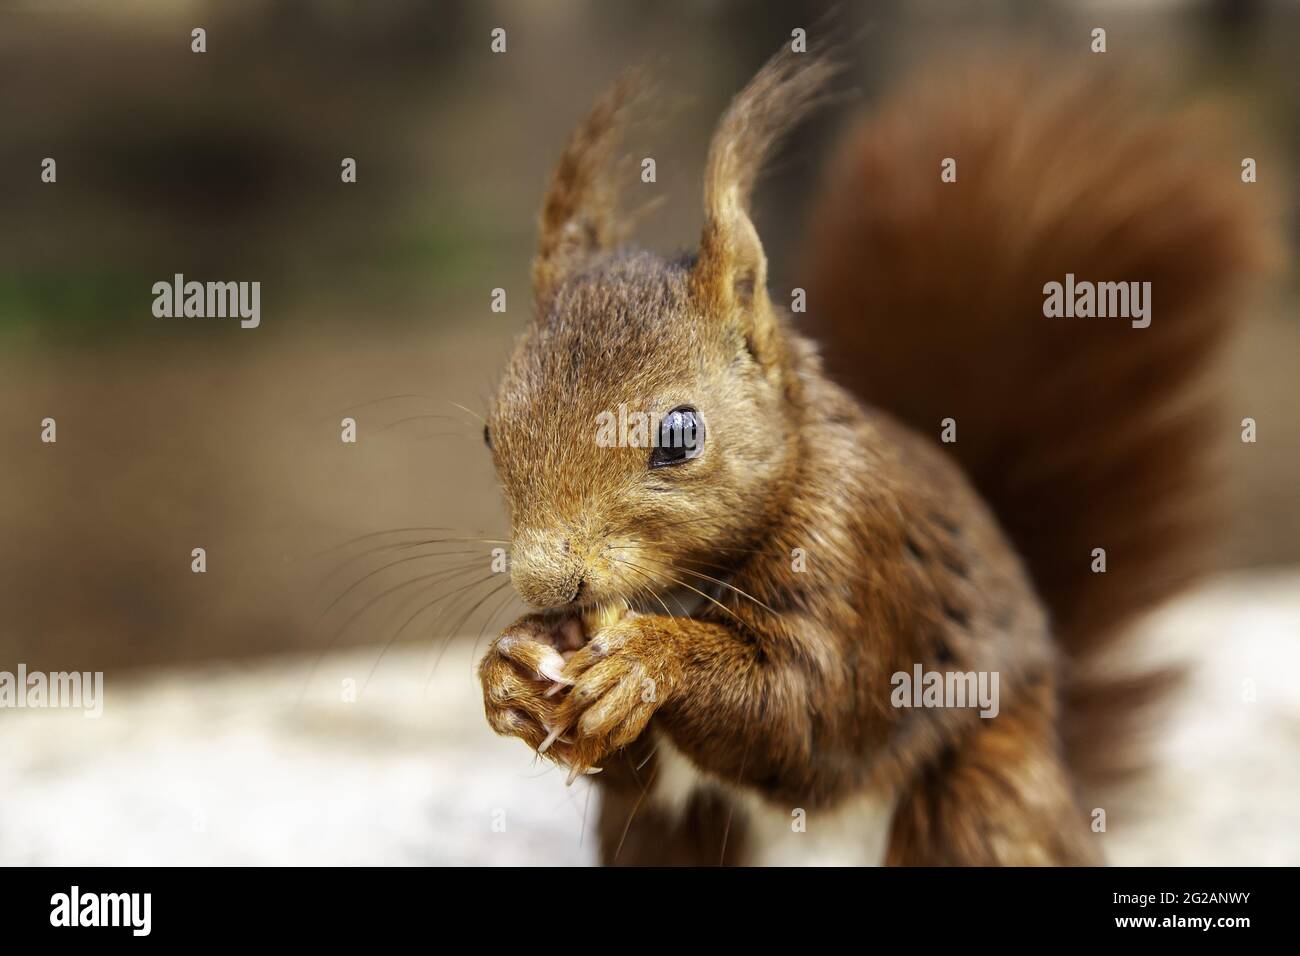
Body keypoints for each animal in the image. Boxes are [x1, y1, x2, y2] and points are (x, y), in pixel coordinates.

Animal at [476, 44, 1274, 865]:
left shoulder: (858, 556)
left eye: (679, 436)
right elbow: (630, 766)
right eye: (491, 432)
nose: (545, 582)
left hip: (984, 797)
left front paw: (645, 660)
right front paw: (508, 671)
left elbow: (808, 710)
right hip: (662, 838)